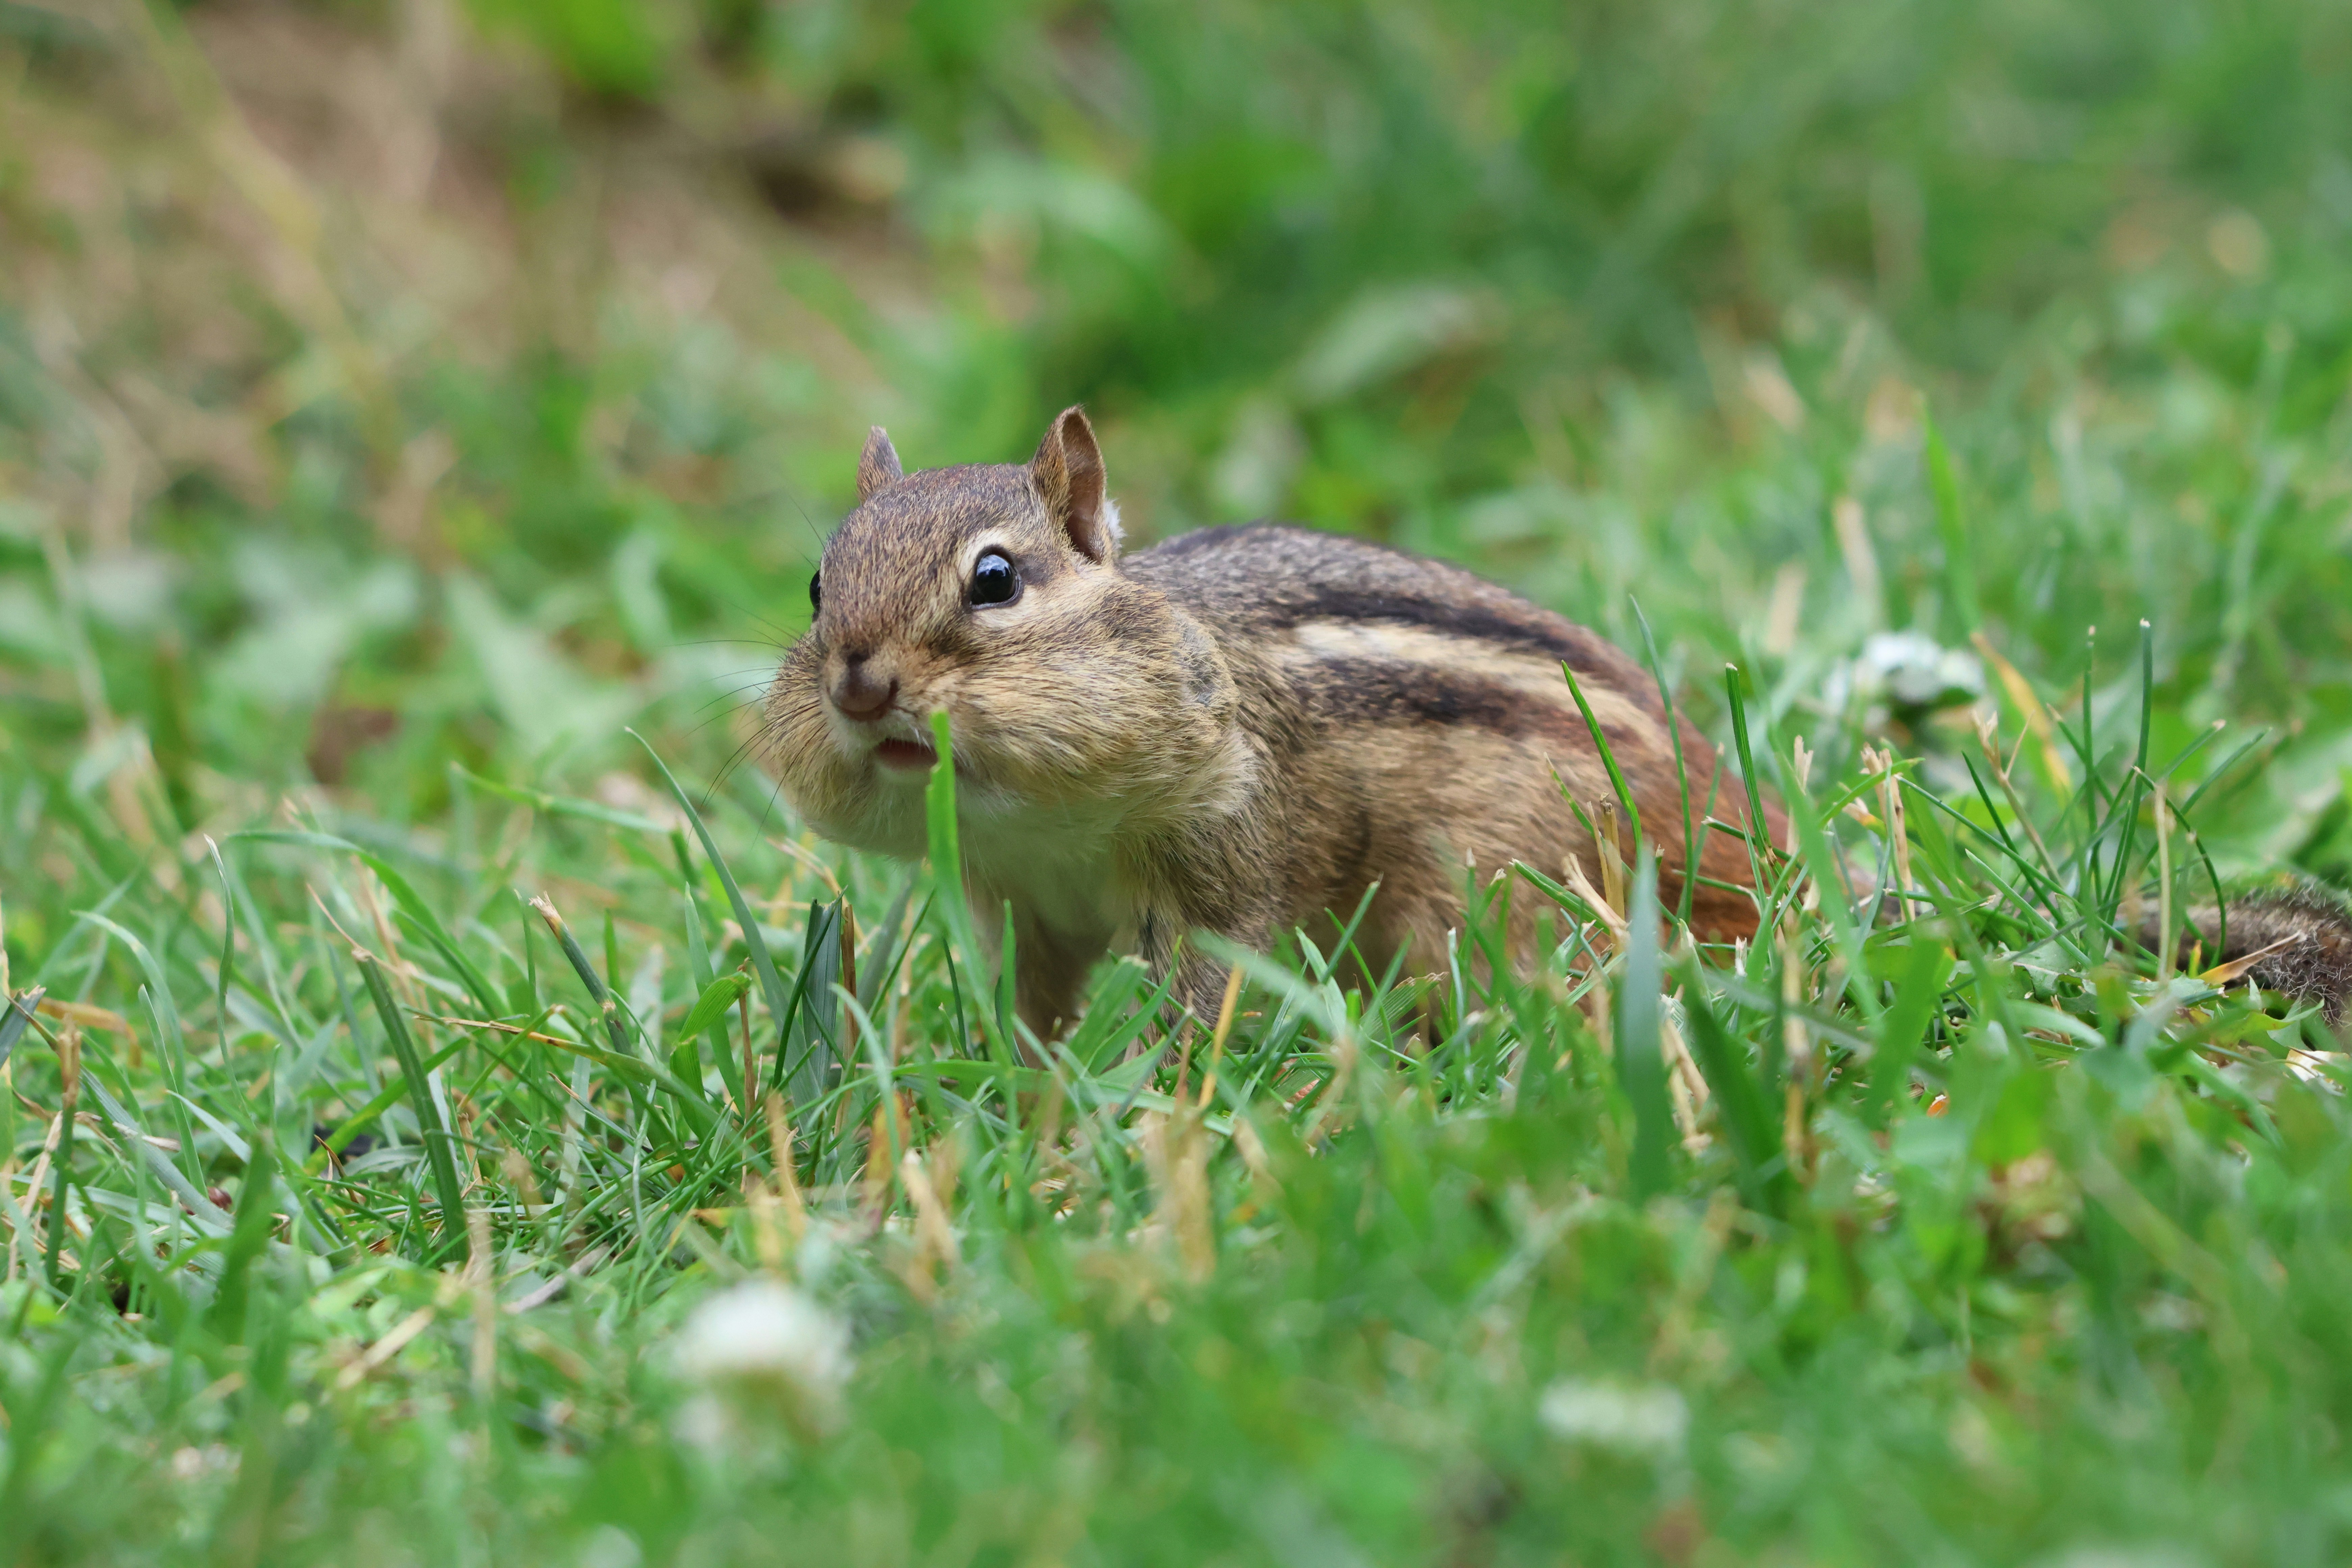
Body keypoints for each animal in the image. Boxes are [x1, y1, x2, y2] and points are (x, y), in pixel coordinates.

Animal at [763, 407, 2352, 1038]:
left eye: (995, 580)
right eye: (815, 582)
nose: (859, 686)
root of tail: (1769, 863)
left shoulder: (1230, 870)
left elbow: (1209, 1001)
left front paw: (1152, 1103)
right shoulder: (1030, 908)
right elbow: (1031, 1013)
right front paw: (1008, 1095)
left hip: (1493, 889)